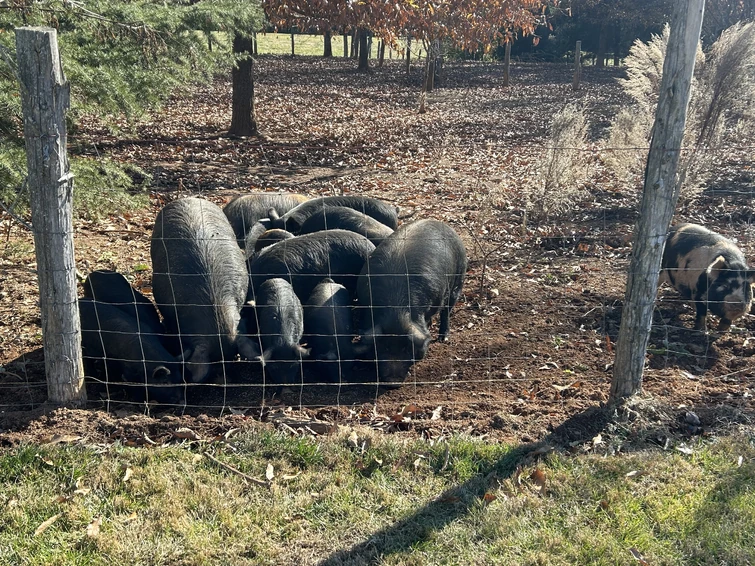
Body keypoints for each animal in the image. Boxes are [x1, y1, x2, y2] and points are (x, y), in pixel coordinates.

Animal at [355, 219, 467, 383]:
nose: (392, 382)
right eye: (383, 347)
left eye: (406, 349)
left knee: (447, 310)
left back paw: (443, 338)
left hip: (459, 279)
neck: (396, 310)